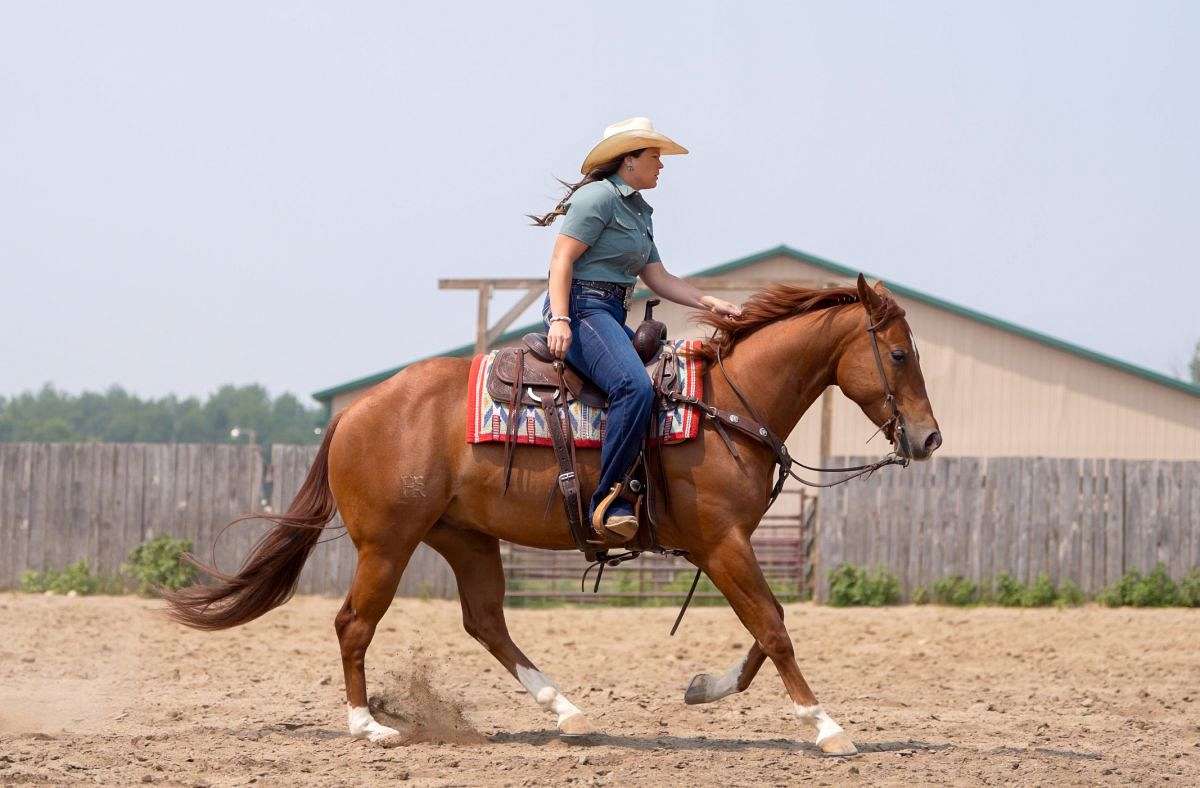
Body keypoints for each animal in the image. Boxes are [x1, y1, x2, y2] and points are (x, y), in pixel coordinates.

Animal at [164, 274, 941, 756]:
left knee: (486, 623)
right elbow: (774, 628)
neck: (723, 401)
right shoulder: (723, 544)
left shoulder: (726, 547)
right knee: (355, 622)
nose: (929, 438)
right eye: (900, 353)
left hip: (466, 539)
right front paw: (827, 727)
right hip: (388, 543)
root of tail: (357, 410)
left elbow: (765, 629)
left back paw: (565, 710)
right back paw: (368, 726)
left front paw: (703, 688)